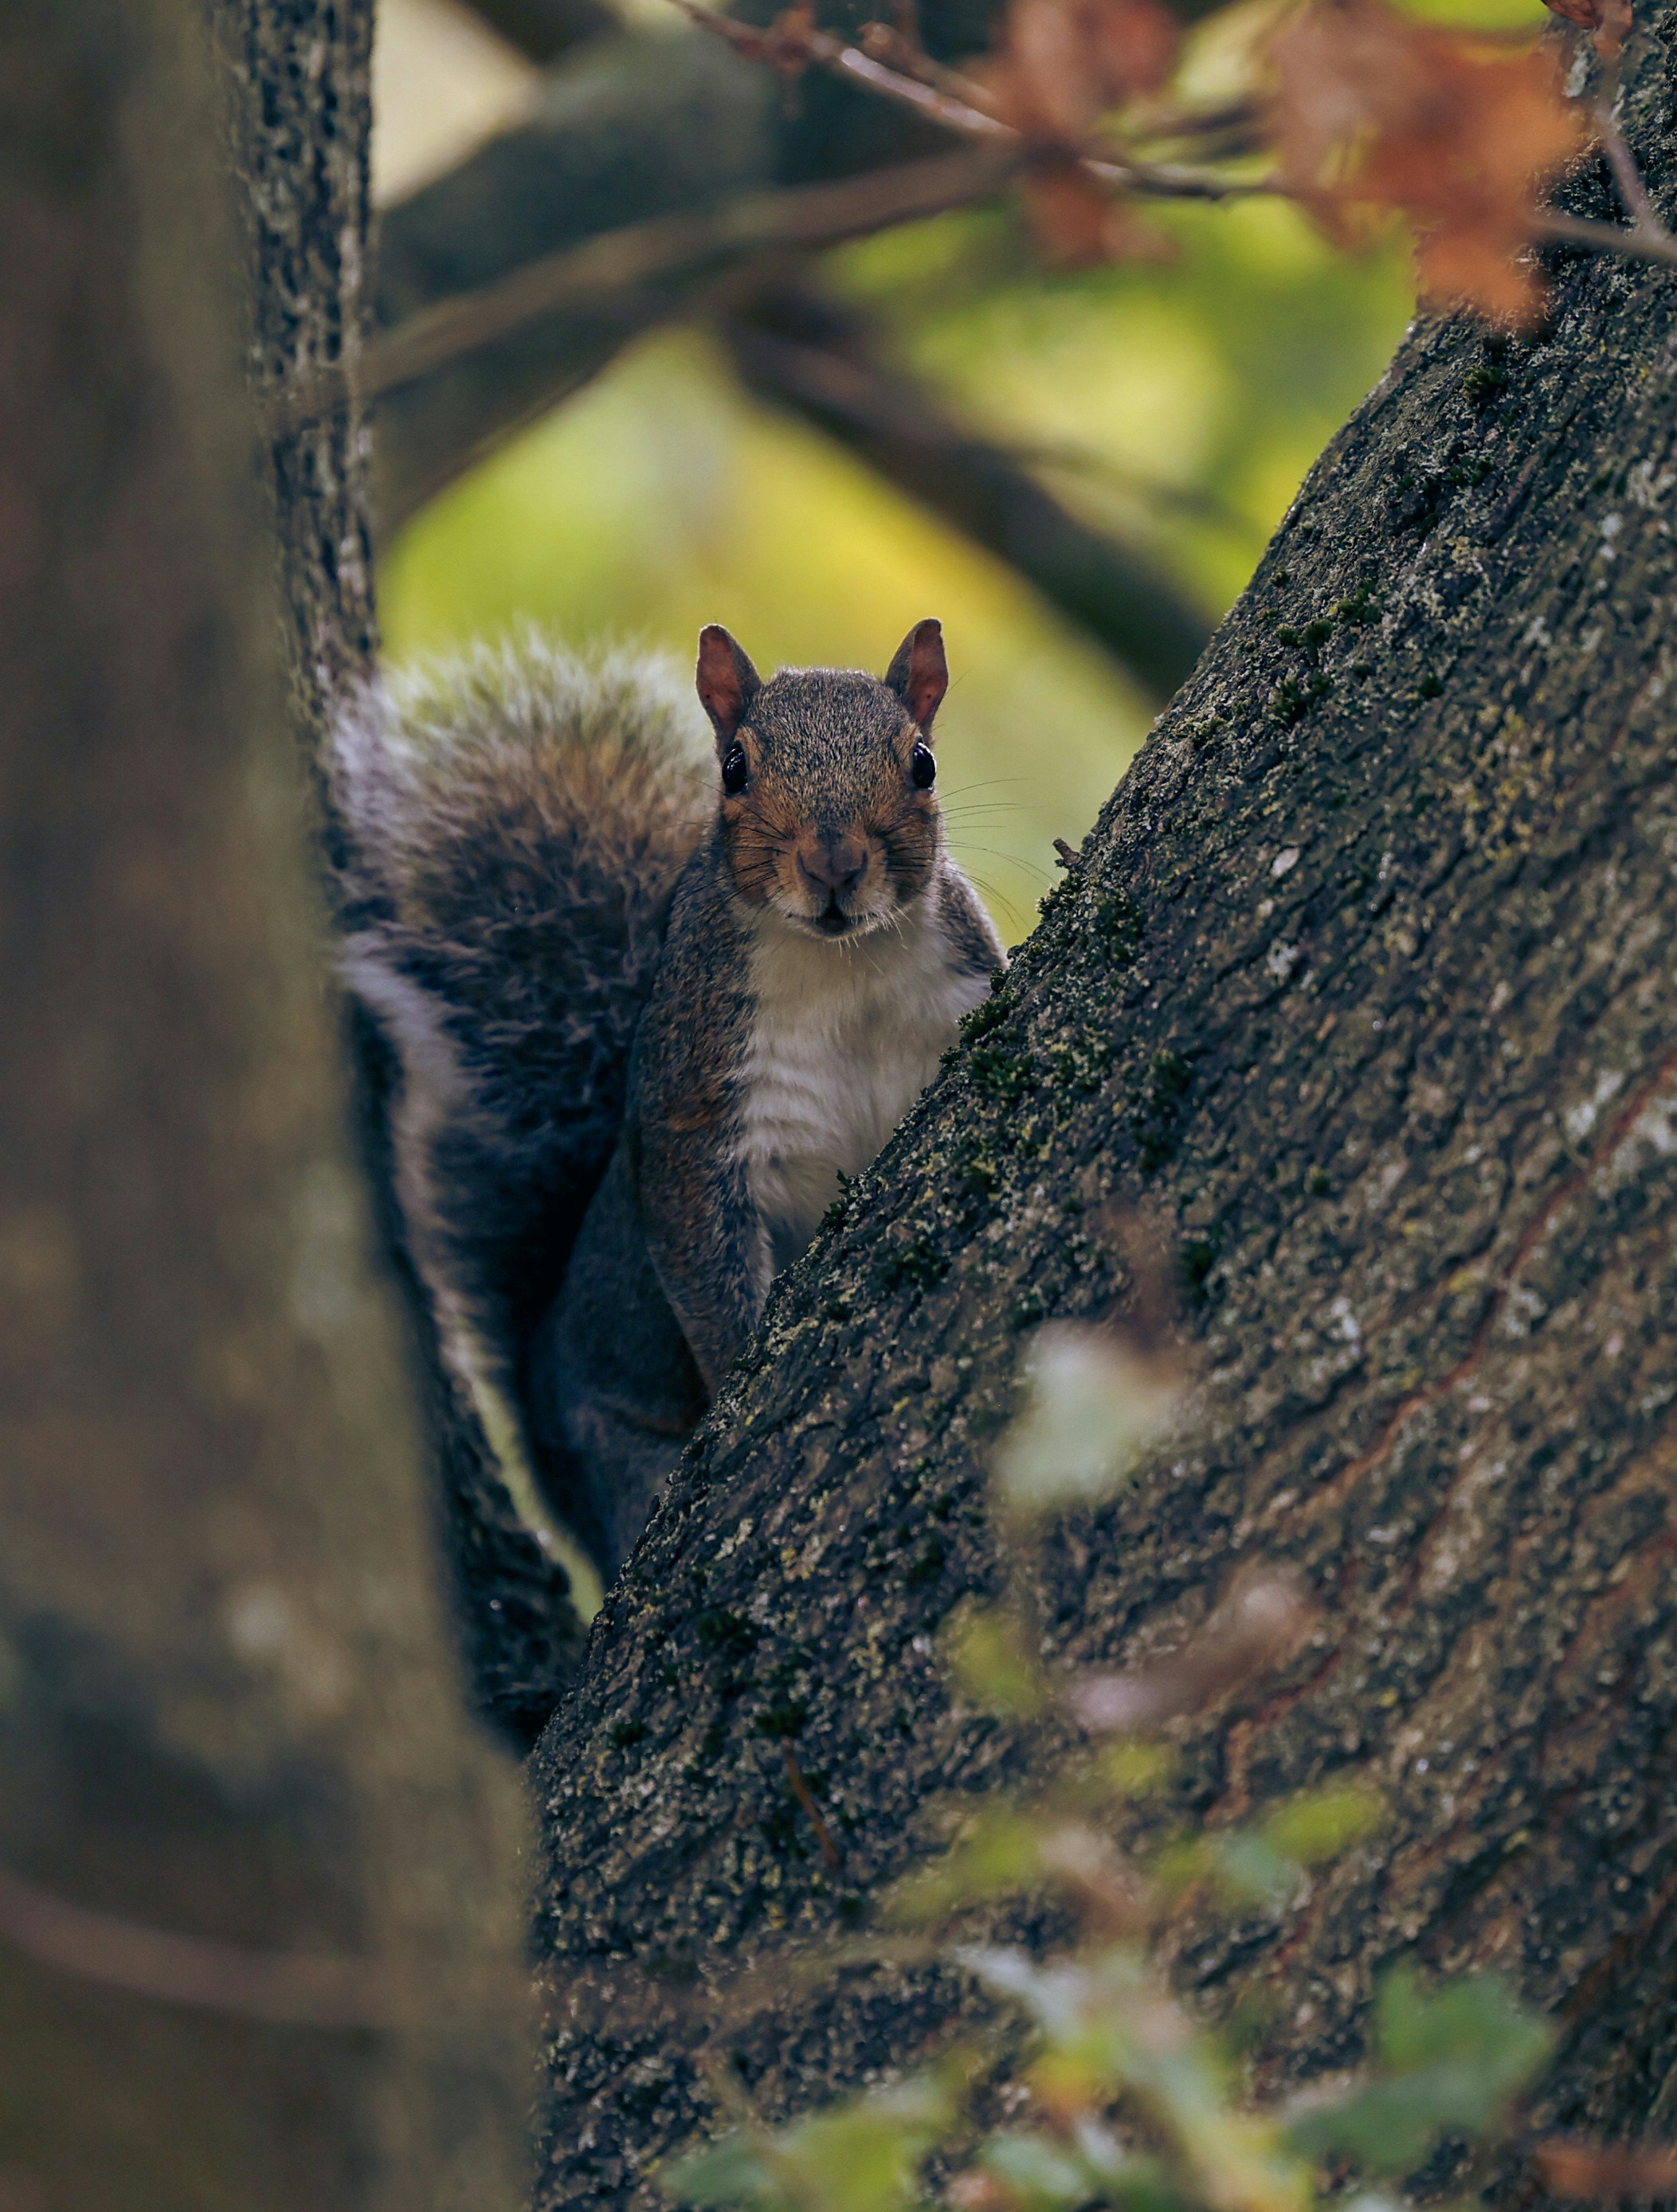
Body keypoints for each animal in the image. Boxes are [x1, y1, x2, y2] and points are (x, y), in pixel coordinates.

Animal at [332, 619, 1005, 1583]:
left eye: (922, 763)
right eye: (733, 767)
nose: (833, 863)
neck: (844, 966)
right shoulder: (696, 1112)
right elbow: (704, 1270)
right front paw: (740, 1383)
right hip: (612, 1451)